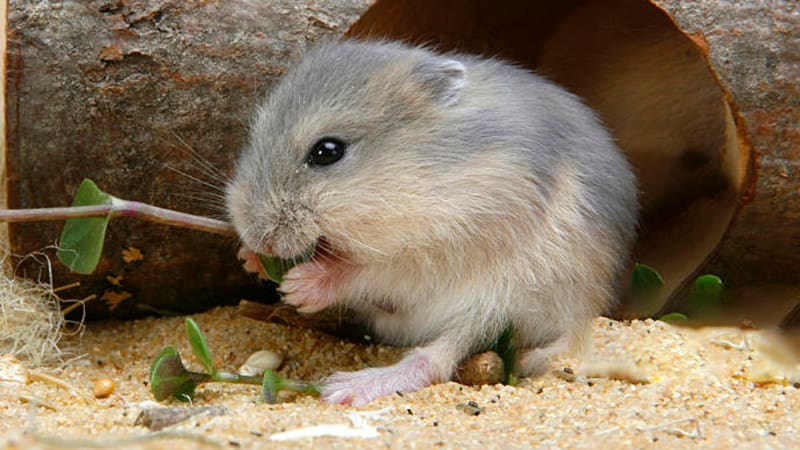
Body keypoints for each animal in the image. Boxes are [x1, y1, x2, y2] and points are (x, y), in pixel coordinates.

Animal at [226, 40, 638, 406]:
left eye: (327, 152)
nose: (256, 237)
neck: (422, 174)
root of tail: (585, 314)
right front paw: (249, 259)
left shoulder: (445, 248)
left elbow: (368, 271)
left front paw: (298, 288)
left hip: (505, 301)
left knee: (436, 359)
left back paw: (347, 389)